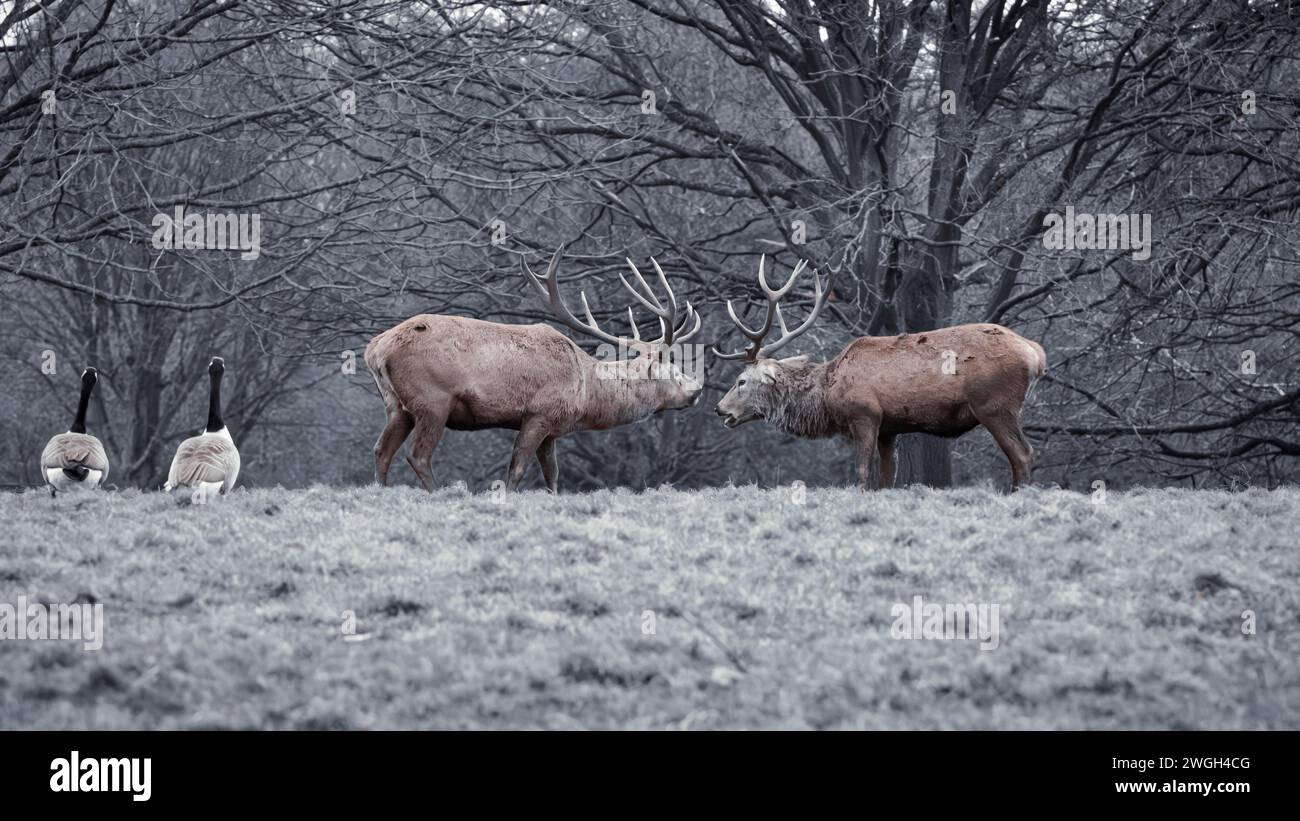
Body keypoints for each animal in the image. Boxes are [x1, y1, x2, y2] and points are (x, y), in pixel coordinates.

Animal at [364, 247, 704, 492]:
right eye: (672, 371)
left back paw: (382, 492)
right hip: (433, 400)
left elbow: (552, 475)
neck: (586, 393)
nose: (697, 389)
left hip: (396, 405)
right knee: (418, 455)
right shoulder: (539, 413)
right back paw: (436, 494)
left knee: (382, 450)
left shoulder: (553, 429)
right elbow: (516, 470)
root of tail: (376, 350)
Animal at [713, 257, 1047, 490]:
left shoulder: (865, 414)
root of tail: (1036, 353)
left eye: (741, 381)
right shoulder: (890, 427)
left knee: (1023, 454)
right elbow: (888, 477)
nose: (719, 409)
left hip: (994, 404)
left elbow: (862, 472)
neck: (828, 392)